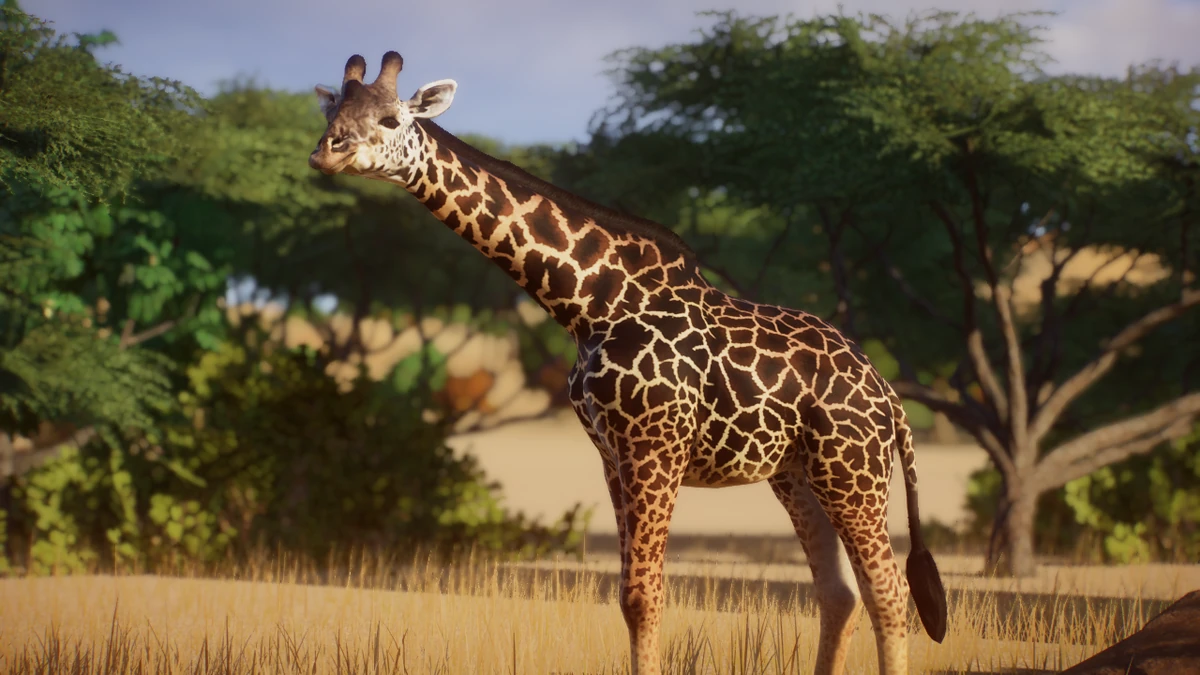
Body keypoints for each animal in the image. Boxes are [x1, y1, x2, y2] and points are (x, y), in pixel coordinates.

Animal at [308, 52, 947, 675]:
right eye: (332, 113)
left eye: (392, 118)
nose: (326, 152)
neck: (591, 303)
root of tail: (888, 395)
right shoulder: (612, 456)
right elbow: (626, 596)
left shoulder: (653, 447)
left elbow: (645, 596)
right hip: (798, 475)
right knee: (839, 592)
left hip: (853, 473)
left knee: (889, 593)